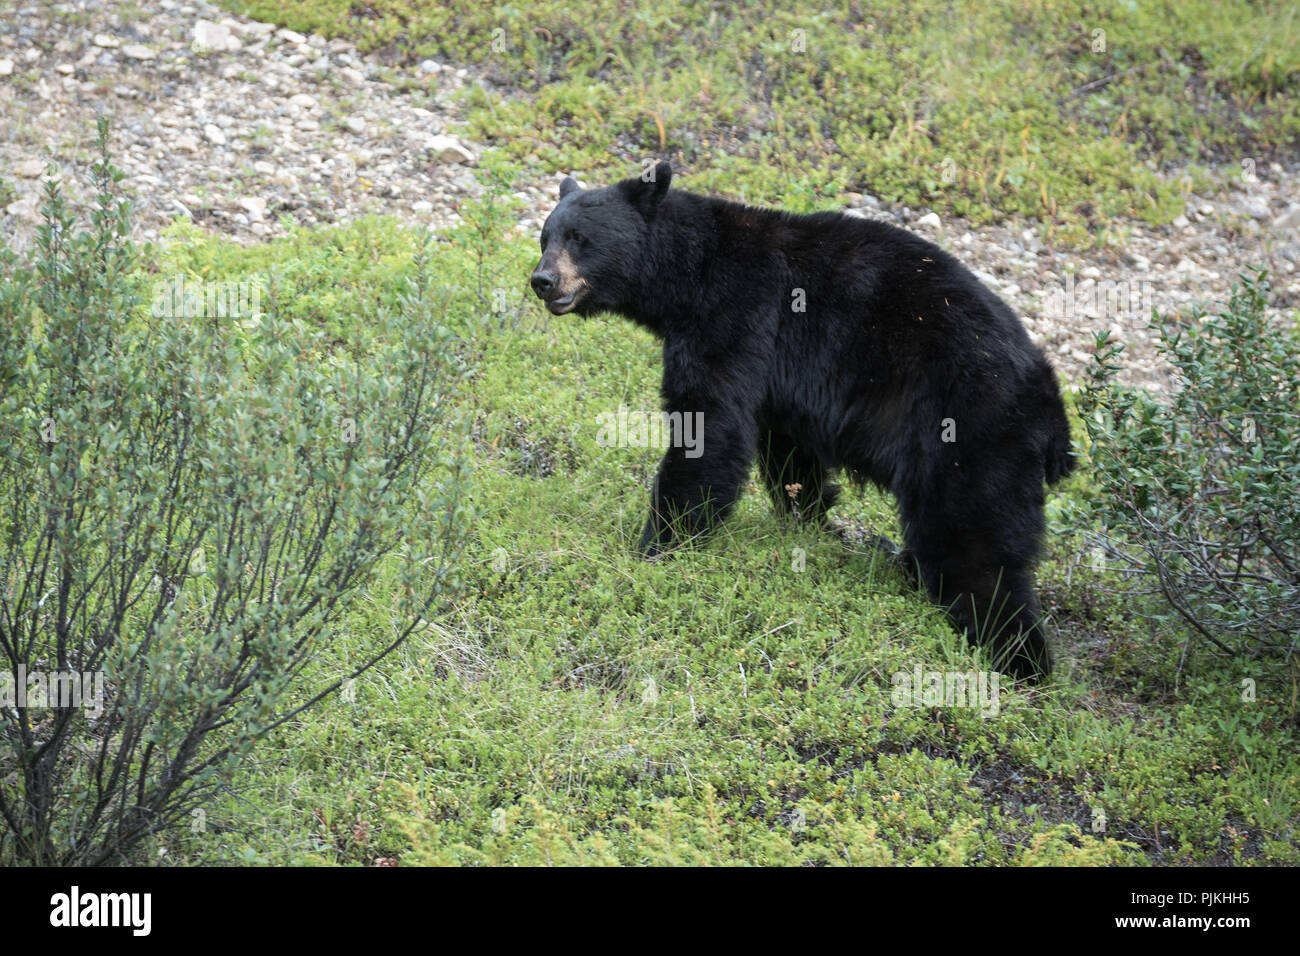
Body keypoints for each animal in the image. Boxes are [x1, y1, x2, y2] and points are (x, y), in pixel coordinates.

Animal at [530, 161, 1073, 680]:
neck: (691, 274)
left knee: (977, 549)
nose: (542, 281)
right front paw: (808, 522)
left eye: (580, 238)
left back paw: (1019, 658)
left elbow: (709, 426)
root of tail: (1051, 408)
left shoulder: (737, 316)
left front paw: (659, 543)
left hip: (969, 434)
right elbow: (788, 451)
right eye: (545, 237)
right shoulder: (783, 377)